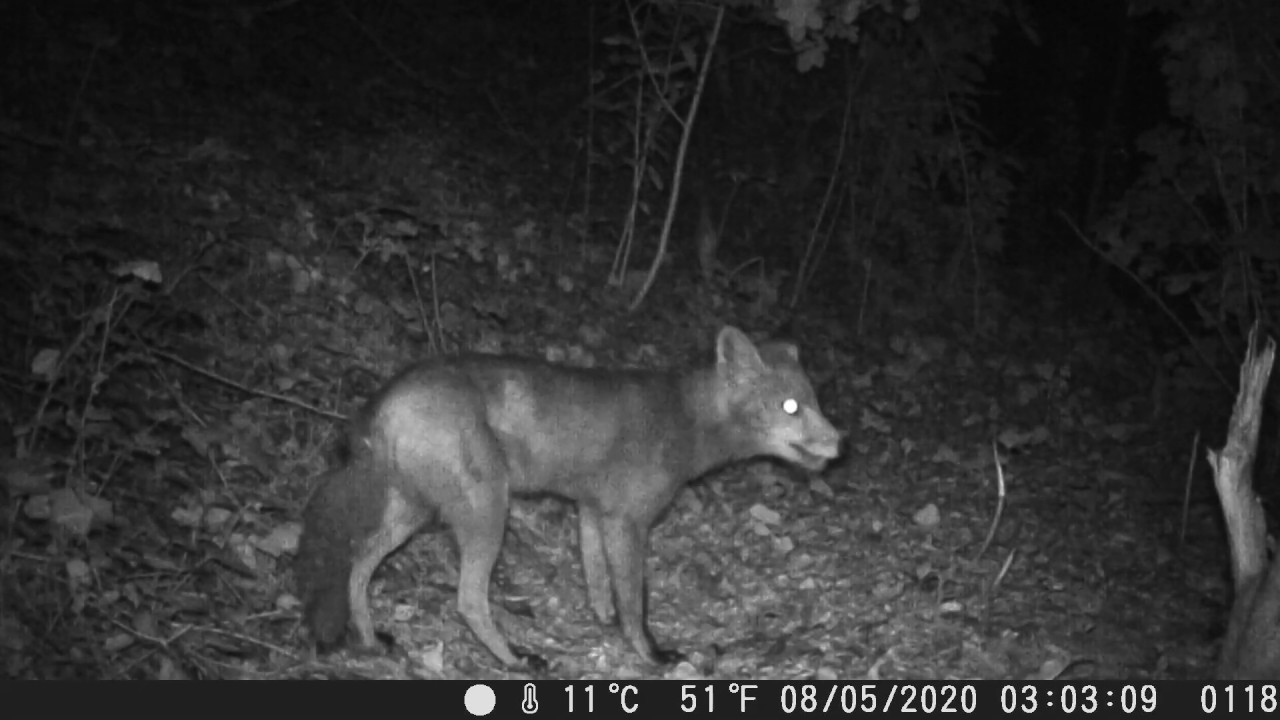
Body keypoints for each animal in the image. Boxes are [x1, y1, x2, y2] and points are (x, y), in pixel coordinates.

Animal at [294, 326, 842, 670]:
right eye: (789, 407)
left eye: (814, 401)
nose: (841, 442)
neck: (684, 424)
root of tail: (385, 400)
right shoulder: (628, 519)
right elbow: (635, 601)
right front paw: (652, 655)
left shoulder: (593, 509)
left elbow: (598, 580)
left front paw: (602, 622)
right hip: (487, 510)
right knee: (467, 600)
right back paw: (515, 660)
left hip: (412, 512)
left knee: (358, 566)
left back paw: (370, 640)